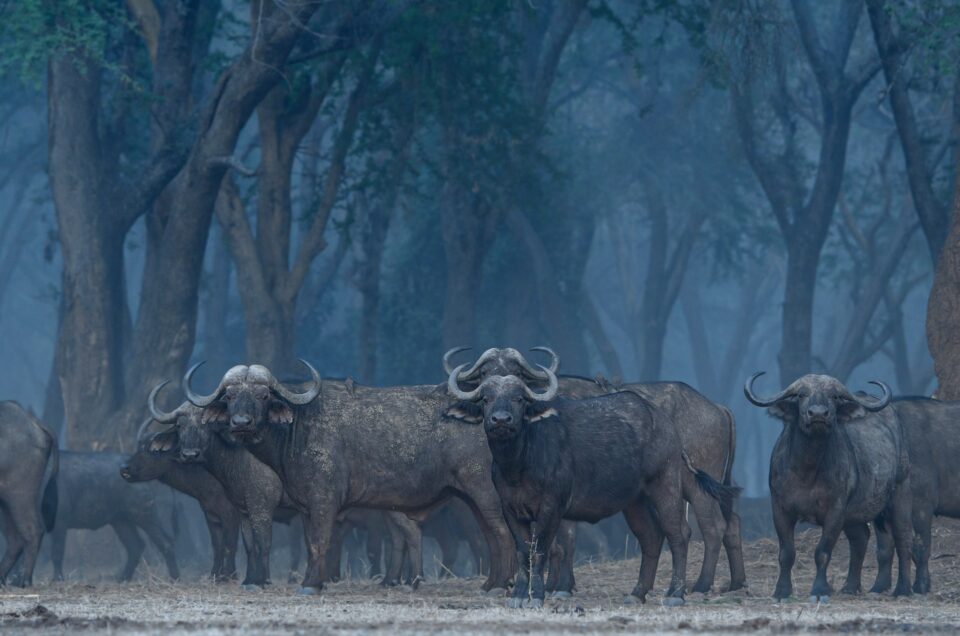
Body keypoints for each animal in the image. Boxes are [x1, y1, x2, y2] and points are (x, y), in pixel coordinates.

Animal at [745, 372, 913, 601]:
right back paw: (859, 587)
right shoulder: (780, 509)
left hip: (899, 496)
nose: (818, 414)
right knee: (865, 539)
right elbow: (786, 553)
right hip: (857, 513)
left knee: (903, 539)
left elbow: (822, 552)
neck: (807, 470)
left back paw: (903, 589)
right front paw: (782, 591)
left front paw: (819, 590)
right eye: (801, 395)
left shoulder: (836, 510)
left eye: (833, 396)